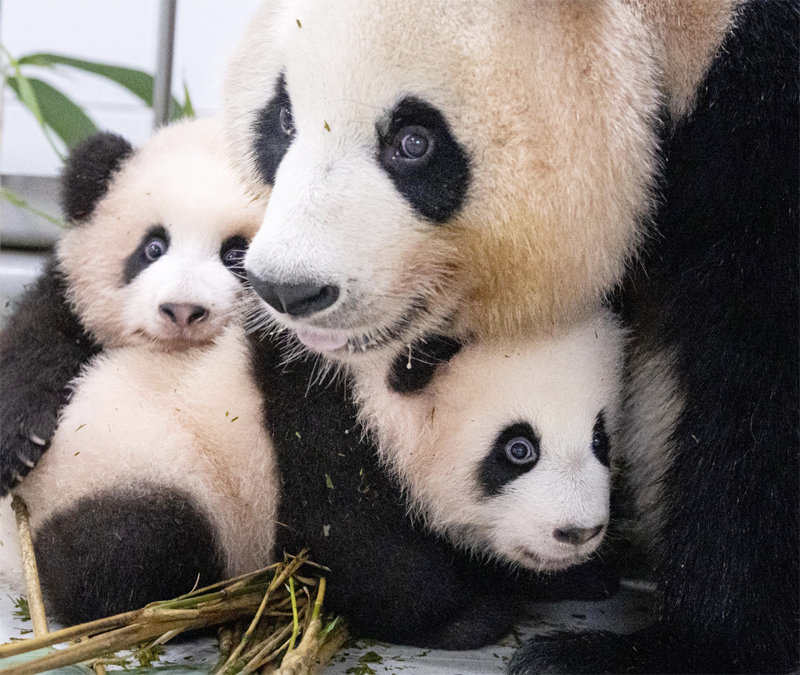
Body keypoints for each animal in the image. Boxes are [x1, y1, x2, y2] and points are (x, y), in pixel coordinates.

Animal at [1, 118, 278, 625]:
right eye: (152, 247)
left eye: (236, 254)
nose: (183, 310)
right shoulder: (70, 301)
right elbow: (31, 344)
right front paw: (17, 446)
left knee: (132, 547)